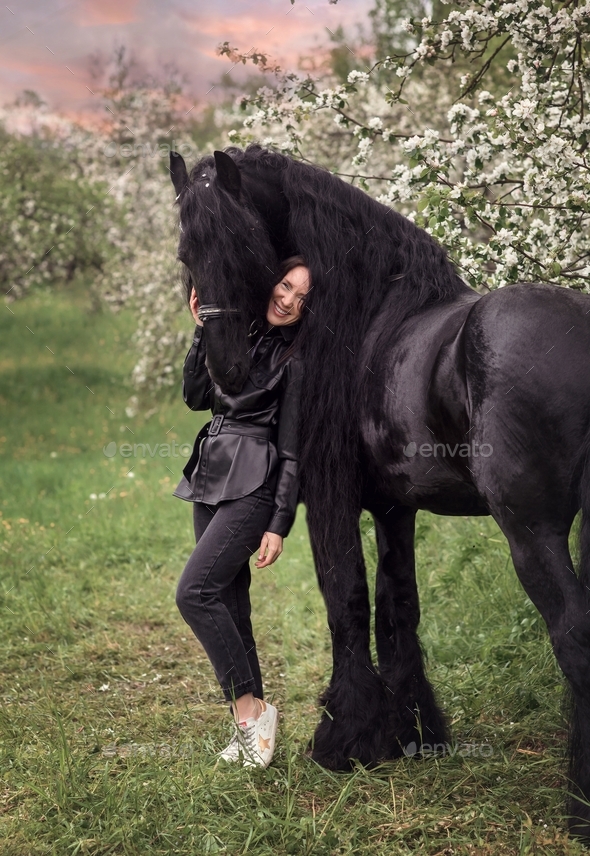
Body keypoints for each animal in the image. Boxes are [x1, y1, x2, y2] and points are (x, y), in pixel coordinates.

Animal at [169, 143, 590, 839]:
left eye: (247, 247)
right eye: (186, 252)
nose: (228, 371)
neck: (367, 322)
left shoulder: (328, 499)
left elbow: (346, 601)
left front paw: (344, 739)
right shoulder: (395, 508)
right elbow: (398, 608)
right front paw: (410, 732)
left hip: (534, 533)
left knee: (574, 634)